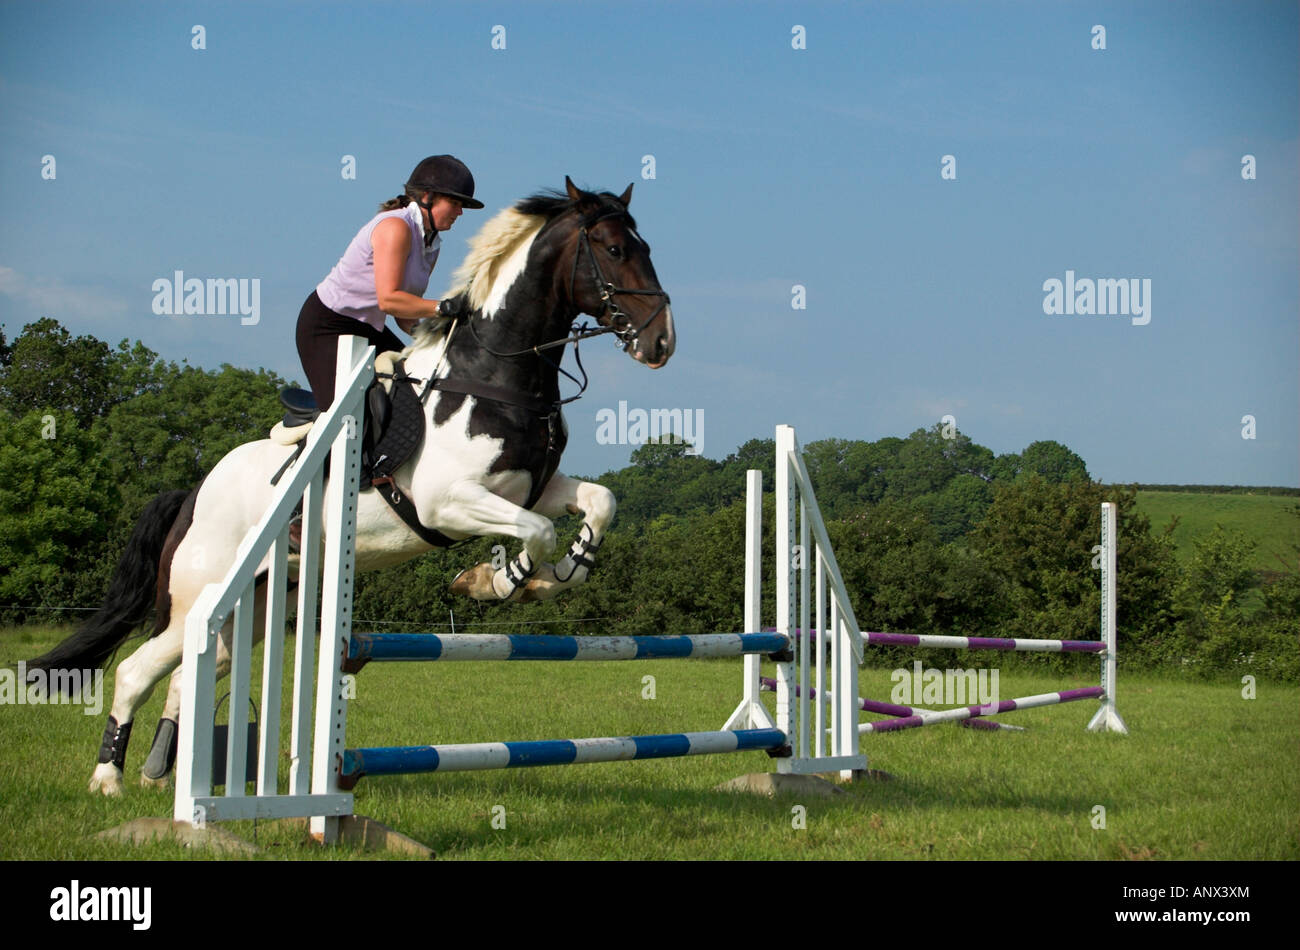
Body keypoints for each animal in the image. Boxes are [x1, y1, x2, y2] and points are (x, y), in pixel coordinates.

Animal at [26, 177, 675, 796]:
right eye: (614, 250)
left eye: (645, 248)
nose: (661, 343)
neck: (493, 374)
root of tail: (192, 494)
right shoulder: (449, 504)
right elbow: (537, 533)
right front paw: (493, 581)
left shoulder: (530, 488)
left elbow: (599, 502)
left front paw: (556, 578)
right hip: (197, 596)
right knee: (135, 670)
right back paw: (109, 780)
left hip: (255, 607)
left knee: (189, 674)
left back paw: (159, 772)